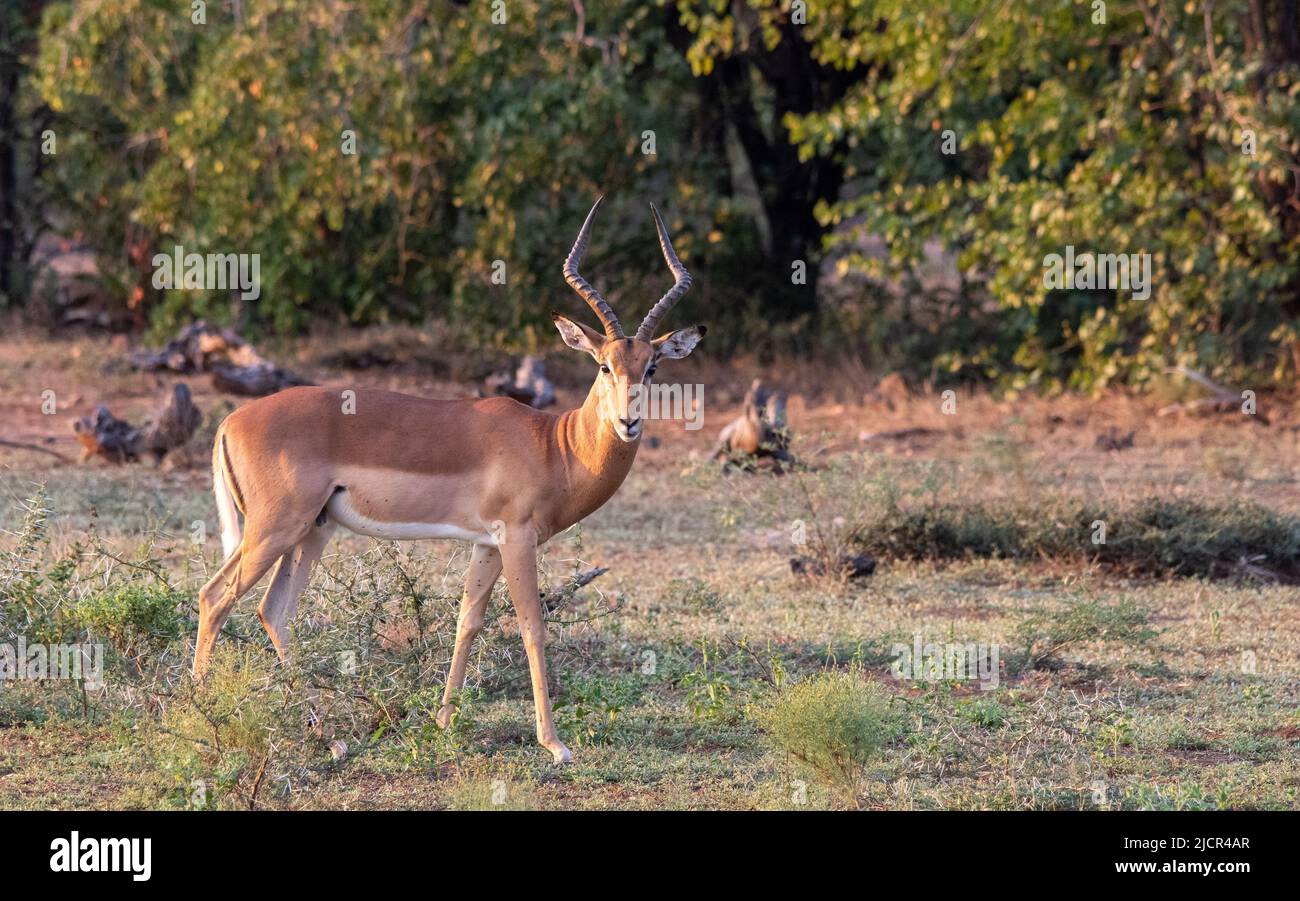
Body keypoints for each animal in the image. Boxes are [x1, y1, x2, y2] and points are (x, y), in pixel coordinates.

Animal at [194, 198, 704, 763]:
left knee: (274, 611)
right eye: (603, 365)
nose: (628, 422)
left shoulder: (486, 544)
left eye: (652, 367)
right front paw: (555, 744)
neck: (553, 445)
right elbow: (531, 625)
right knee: (215, 598)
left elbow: (468, 621)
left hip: (311, 532)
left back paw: (330, 740)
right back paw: (200, 719)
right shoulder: (518, 538)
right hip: (274, 529)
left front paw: (443, 722)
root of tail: (230, 421)